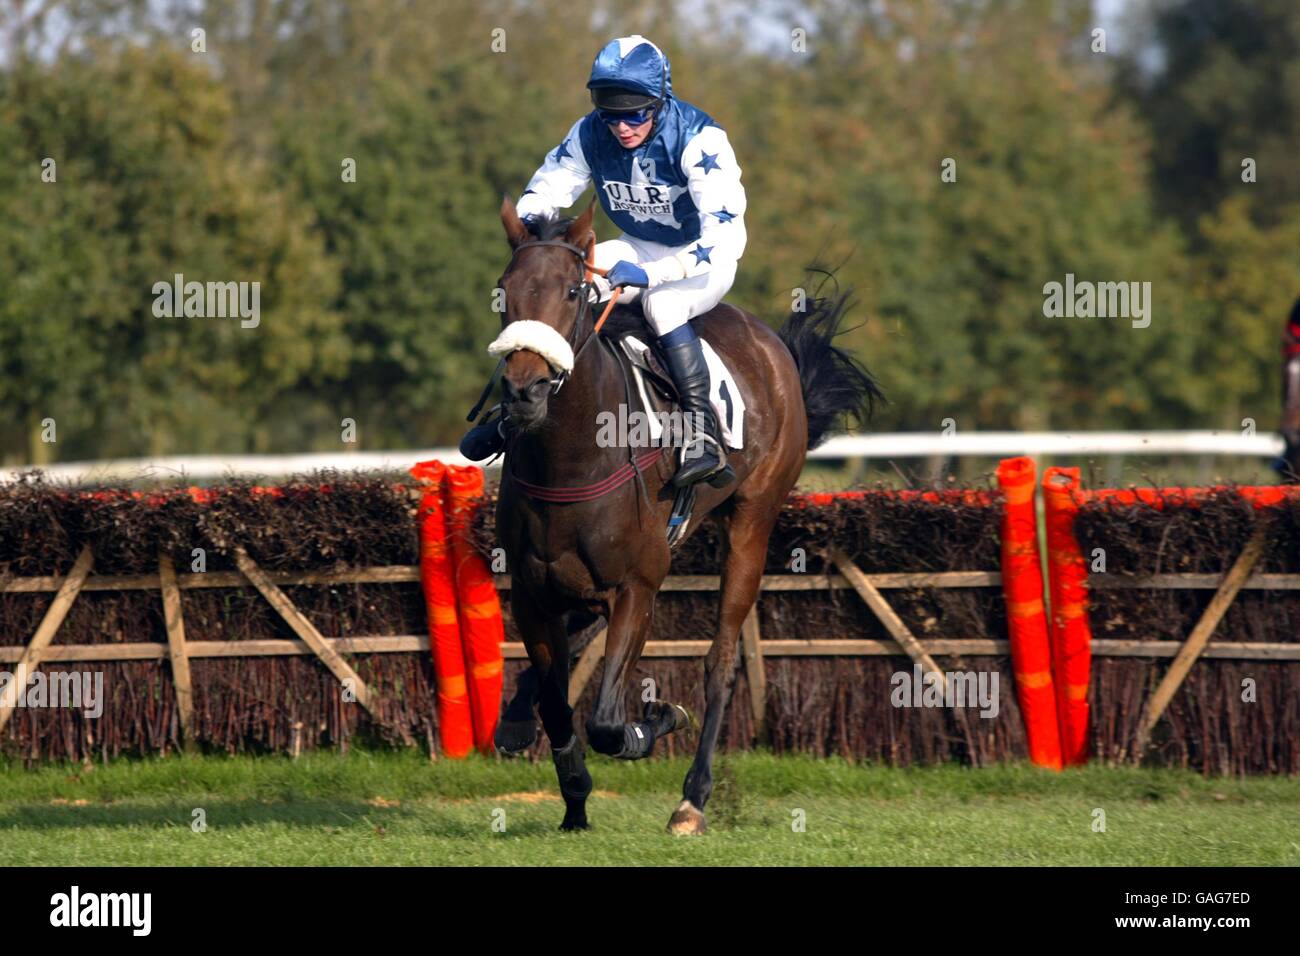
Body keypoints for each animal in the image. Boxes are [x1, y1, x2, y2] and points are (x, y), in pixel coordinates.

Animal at [487, 195, 882, 834]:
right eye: (504, 289)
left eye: (572, 292)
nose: (525, 390)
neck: (569, 460)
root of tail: (773, 344)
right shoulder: (531, 589)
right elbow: (557, 701)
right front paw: (573, 797)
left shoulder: (635, 586)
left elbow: (605, 720)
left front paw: (657, 720)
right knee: (581, 630)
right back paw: (518, 715)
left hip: (751, 520)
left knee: (720, 661)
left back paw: (693, 798)